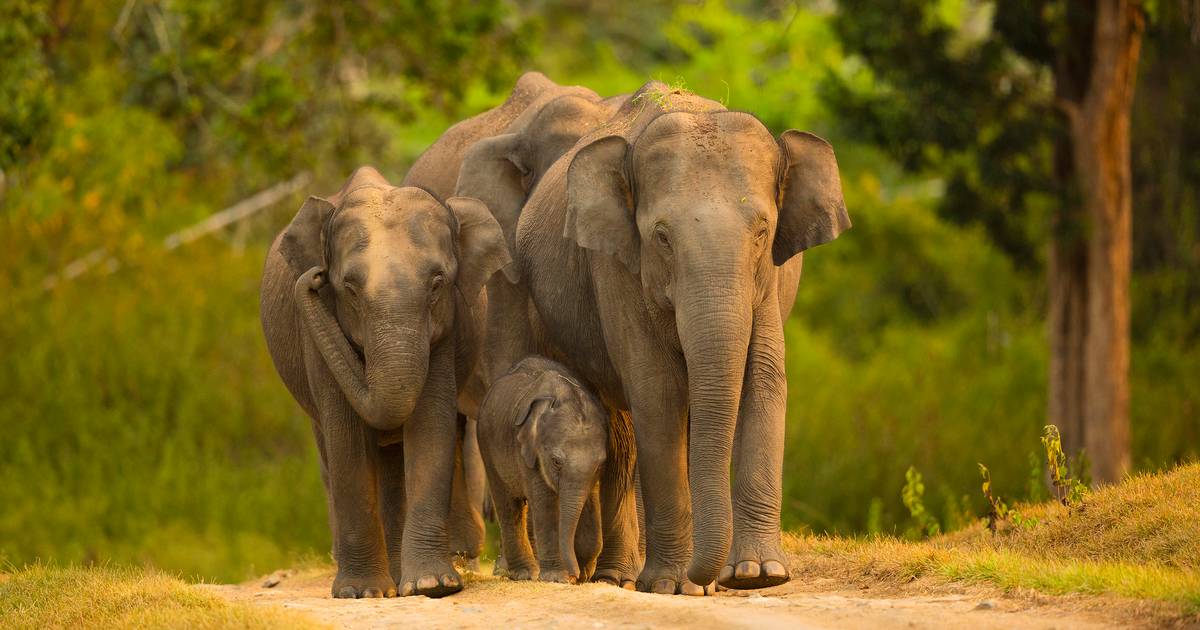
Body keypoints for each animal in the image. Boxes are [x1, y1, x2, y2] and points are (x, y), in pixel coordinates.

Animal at [259, 166, 513, 598]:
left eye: (437, 283)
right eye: (348, 287)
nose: (314, 277)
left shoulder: (445, 330)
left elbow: (430, 425)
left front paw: (432, 585)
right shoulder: (317, 335)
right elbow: (346, 436)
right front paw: (361, 593)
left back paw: (398, 578)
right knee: (331, 450)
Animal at [477, 356, 634, 584]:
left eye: (600, 464)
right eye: (556, 461)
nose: (574, 575)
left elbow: (590, 503)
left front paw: (583, 574)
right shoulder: (528, 453)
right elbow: (546, 505)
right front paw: (558, 578)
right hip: (487, 445)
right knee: (509, 507)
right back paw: (525, 573)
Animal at [511, 82, 850, 595]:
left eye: (762, 232)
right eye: (662, 237)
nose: (708, 579)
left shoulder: (767, 282)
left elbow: (764, 381)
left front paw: (758, 575)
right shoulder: (617, 267)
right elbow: (658, 392)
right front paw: (671, 586)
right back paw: (622, 578)